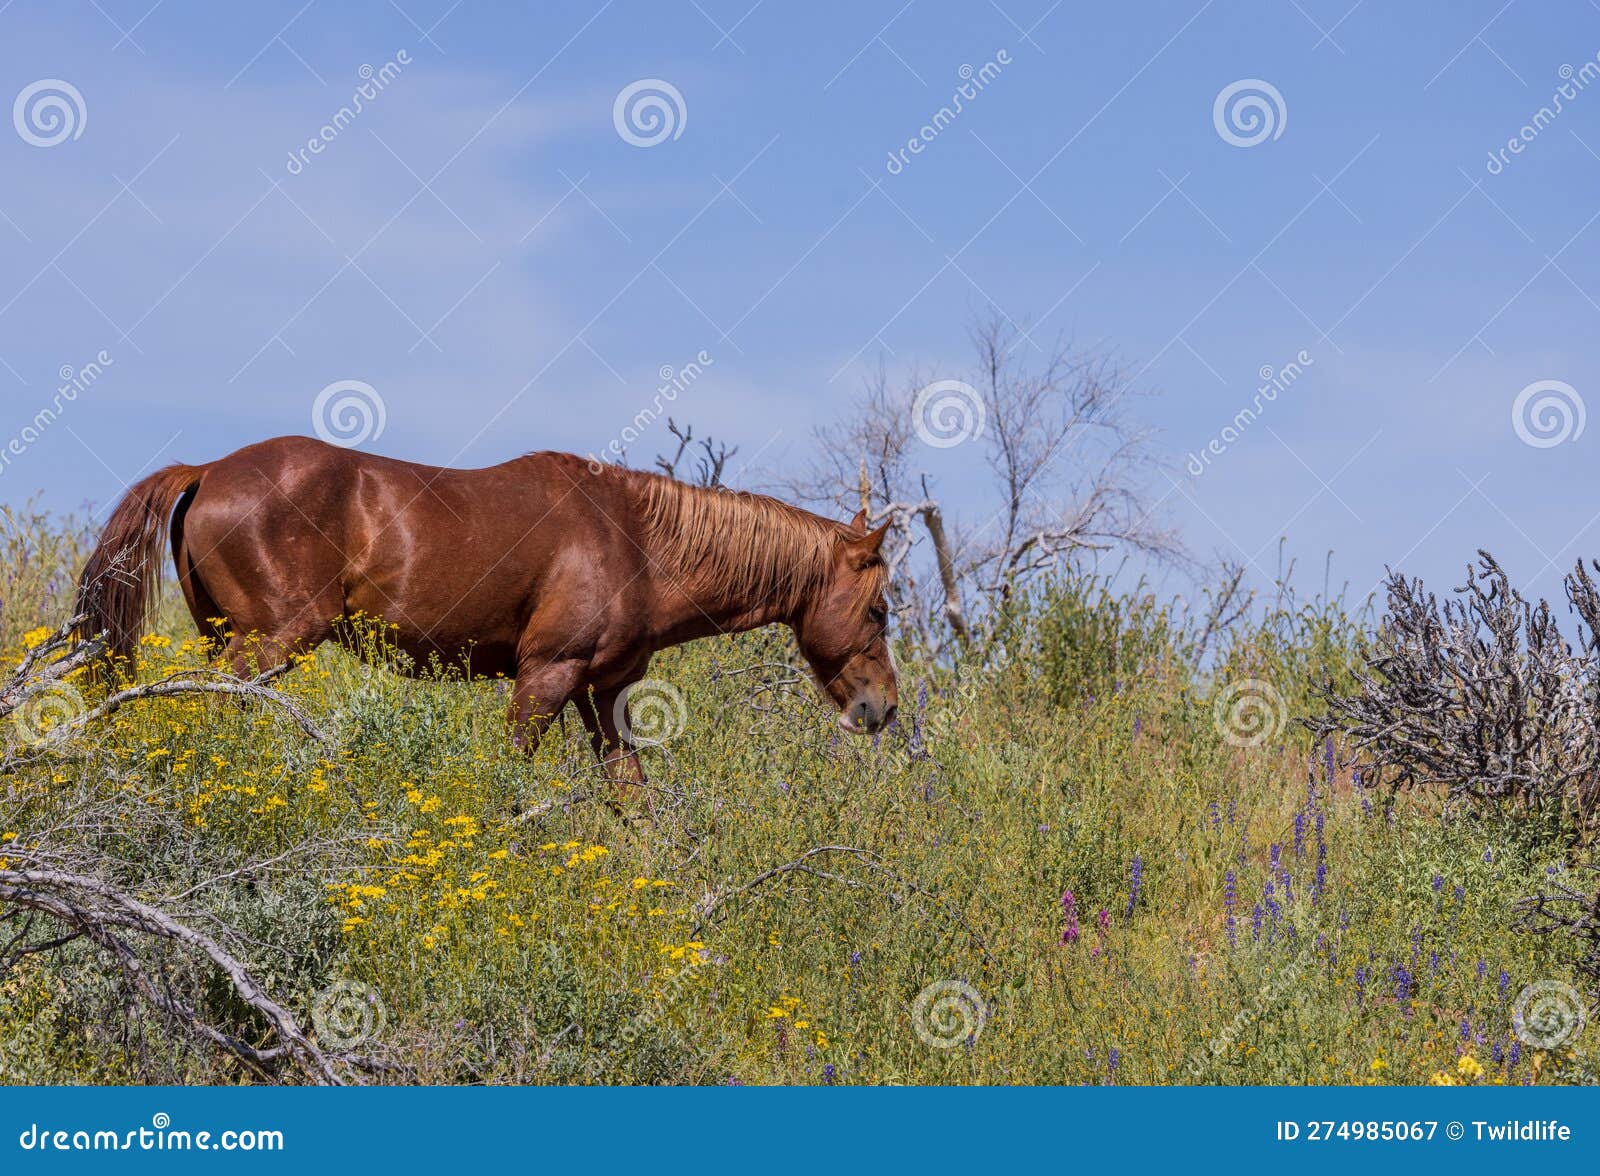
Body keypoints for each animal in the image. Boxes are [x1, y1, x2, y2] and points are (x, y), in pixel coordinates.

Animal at [74, 435, 898, 783]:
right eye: (882, 610)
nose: (882, 707)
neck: (635, 536)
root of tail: (209, 469)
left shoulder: (603, 693)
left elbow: (631, 799)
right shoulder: (546, 676)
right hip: (271, 642)